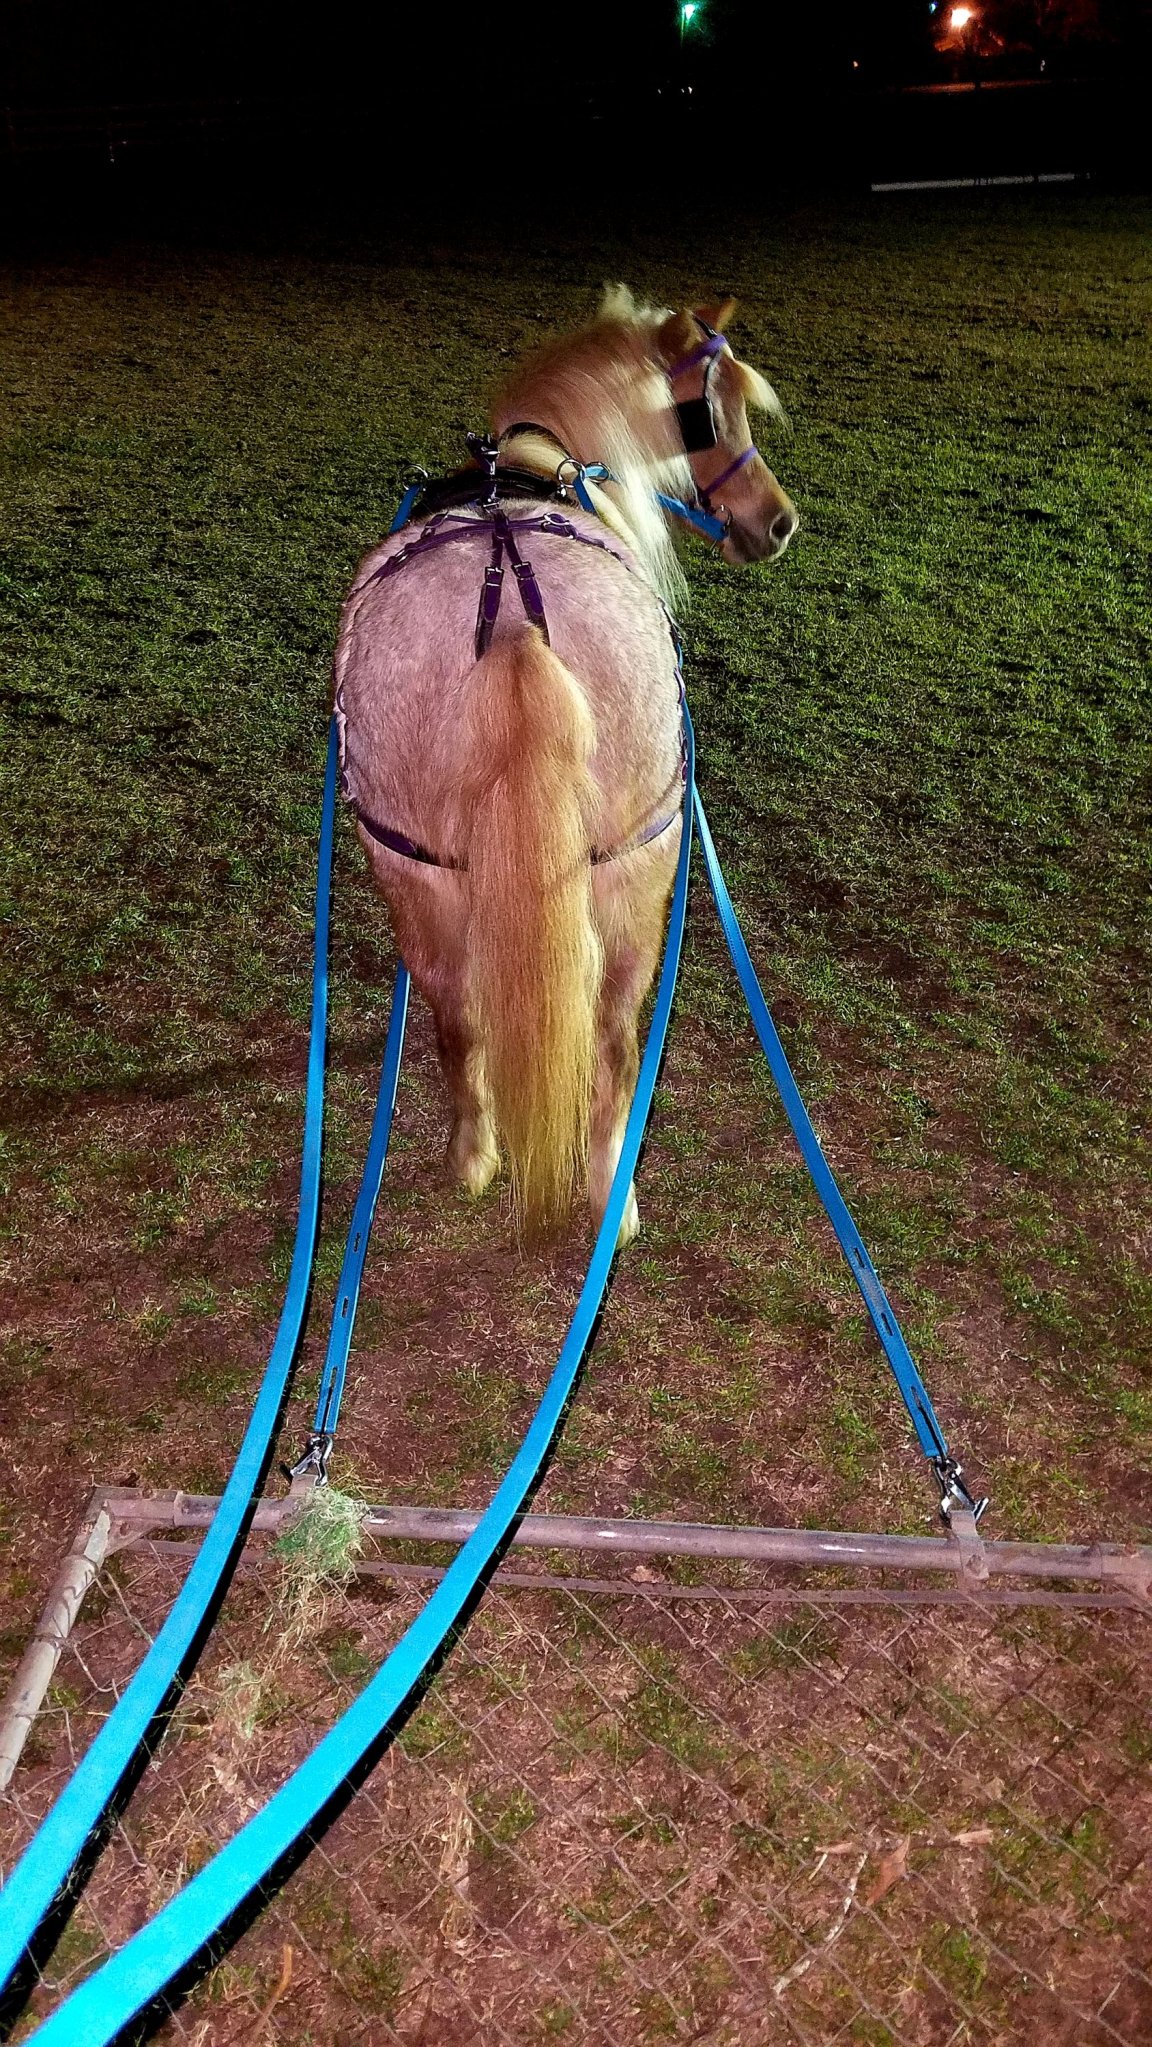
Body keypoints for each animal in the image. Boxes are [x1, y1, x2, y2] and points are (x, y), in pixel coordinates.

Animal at [334, 286, 796, 1246]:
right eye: (710, 411)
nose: (778, 522)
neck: (531, 459)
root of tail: (512, 616)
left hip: (421, 872)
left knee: (461, 1018)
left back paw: (480, 1157)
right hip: (635, 868)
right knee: (611, 1038)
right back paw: (599, 1186)